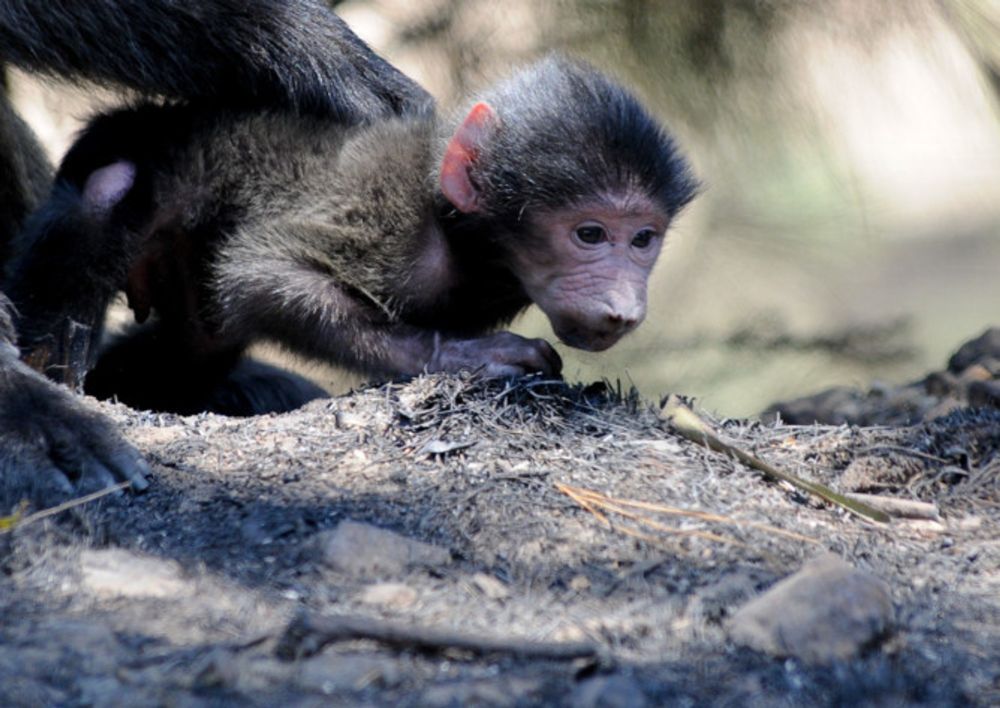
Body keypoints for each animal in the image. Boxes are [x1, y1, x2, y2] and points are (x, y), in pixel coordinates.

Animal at [8, 56, 698, 417]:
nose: (624, 306)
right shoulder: (387, 220)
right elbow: (260, 271)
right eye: (590, 233)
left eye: (643, 239)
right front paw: (460, 357)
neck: (464, 238)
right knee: (108, 196)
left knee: (197, 344)